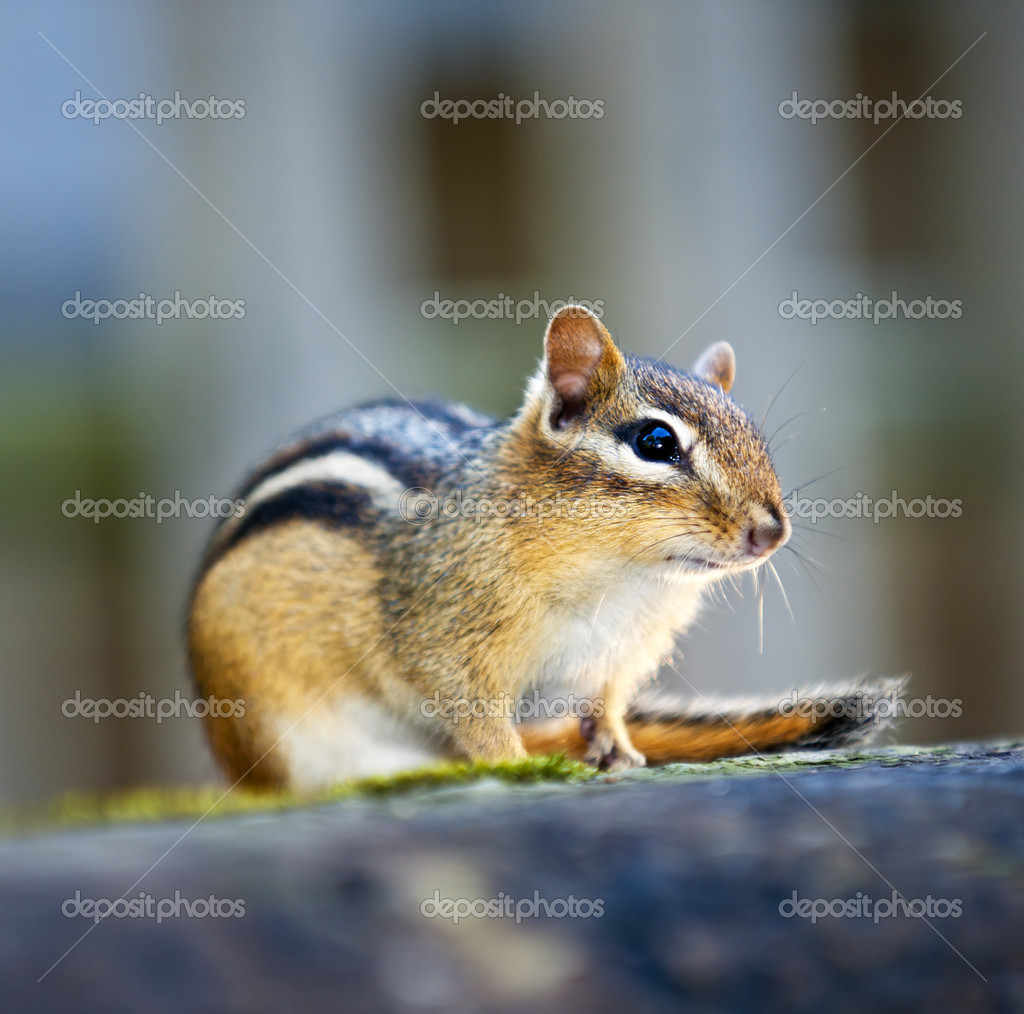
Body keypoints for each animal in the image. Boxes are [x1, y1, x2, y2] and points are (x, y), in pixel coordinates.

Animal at [187, 305, 898, 790]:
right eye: (656, 443)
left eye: (753, 430)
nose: (771, 532)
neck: (622, 577)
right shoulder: (443, 640)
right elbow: (471, 712)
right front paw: (515, 762)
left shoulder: (618, 653)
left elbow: (604, 703)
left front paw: (616, 747)